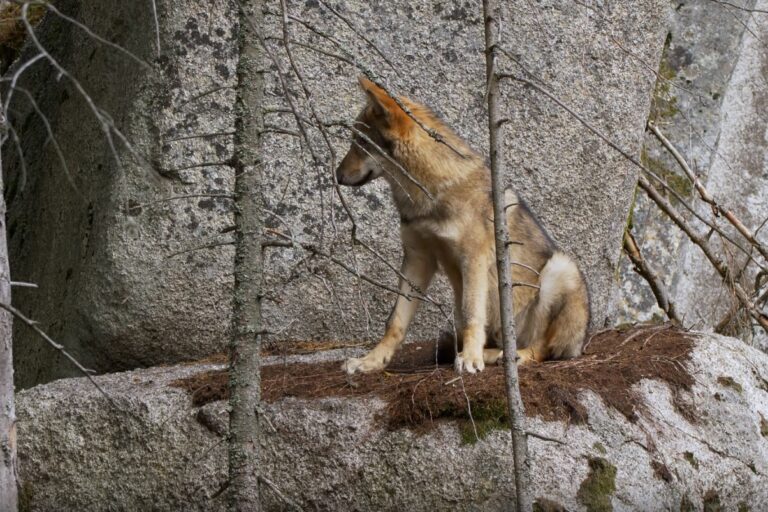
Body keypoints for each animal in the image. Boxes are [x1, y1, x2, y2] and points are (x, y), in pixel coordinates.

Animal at [337, 77, 590, 374]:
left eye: (360, 142)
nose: (337, 175)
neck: (429, 193)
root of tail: (580, 343)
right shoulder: (417, 259)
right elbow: (395, 321)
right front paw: (372, 361)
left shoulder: (473, 259)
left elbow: (471, 315)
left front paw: (469, 358)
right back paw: (492, 353)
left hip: (559, 269)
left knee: (540, 349)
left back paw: (505, 356)